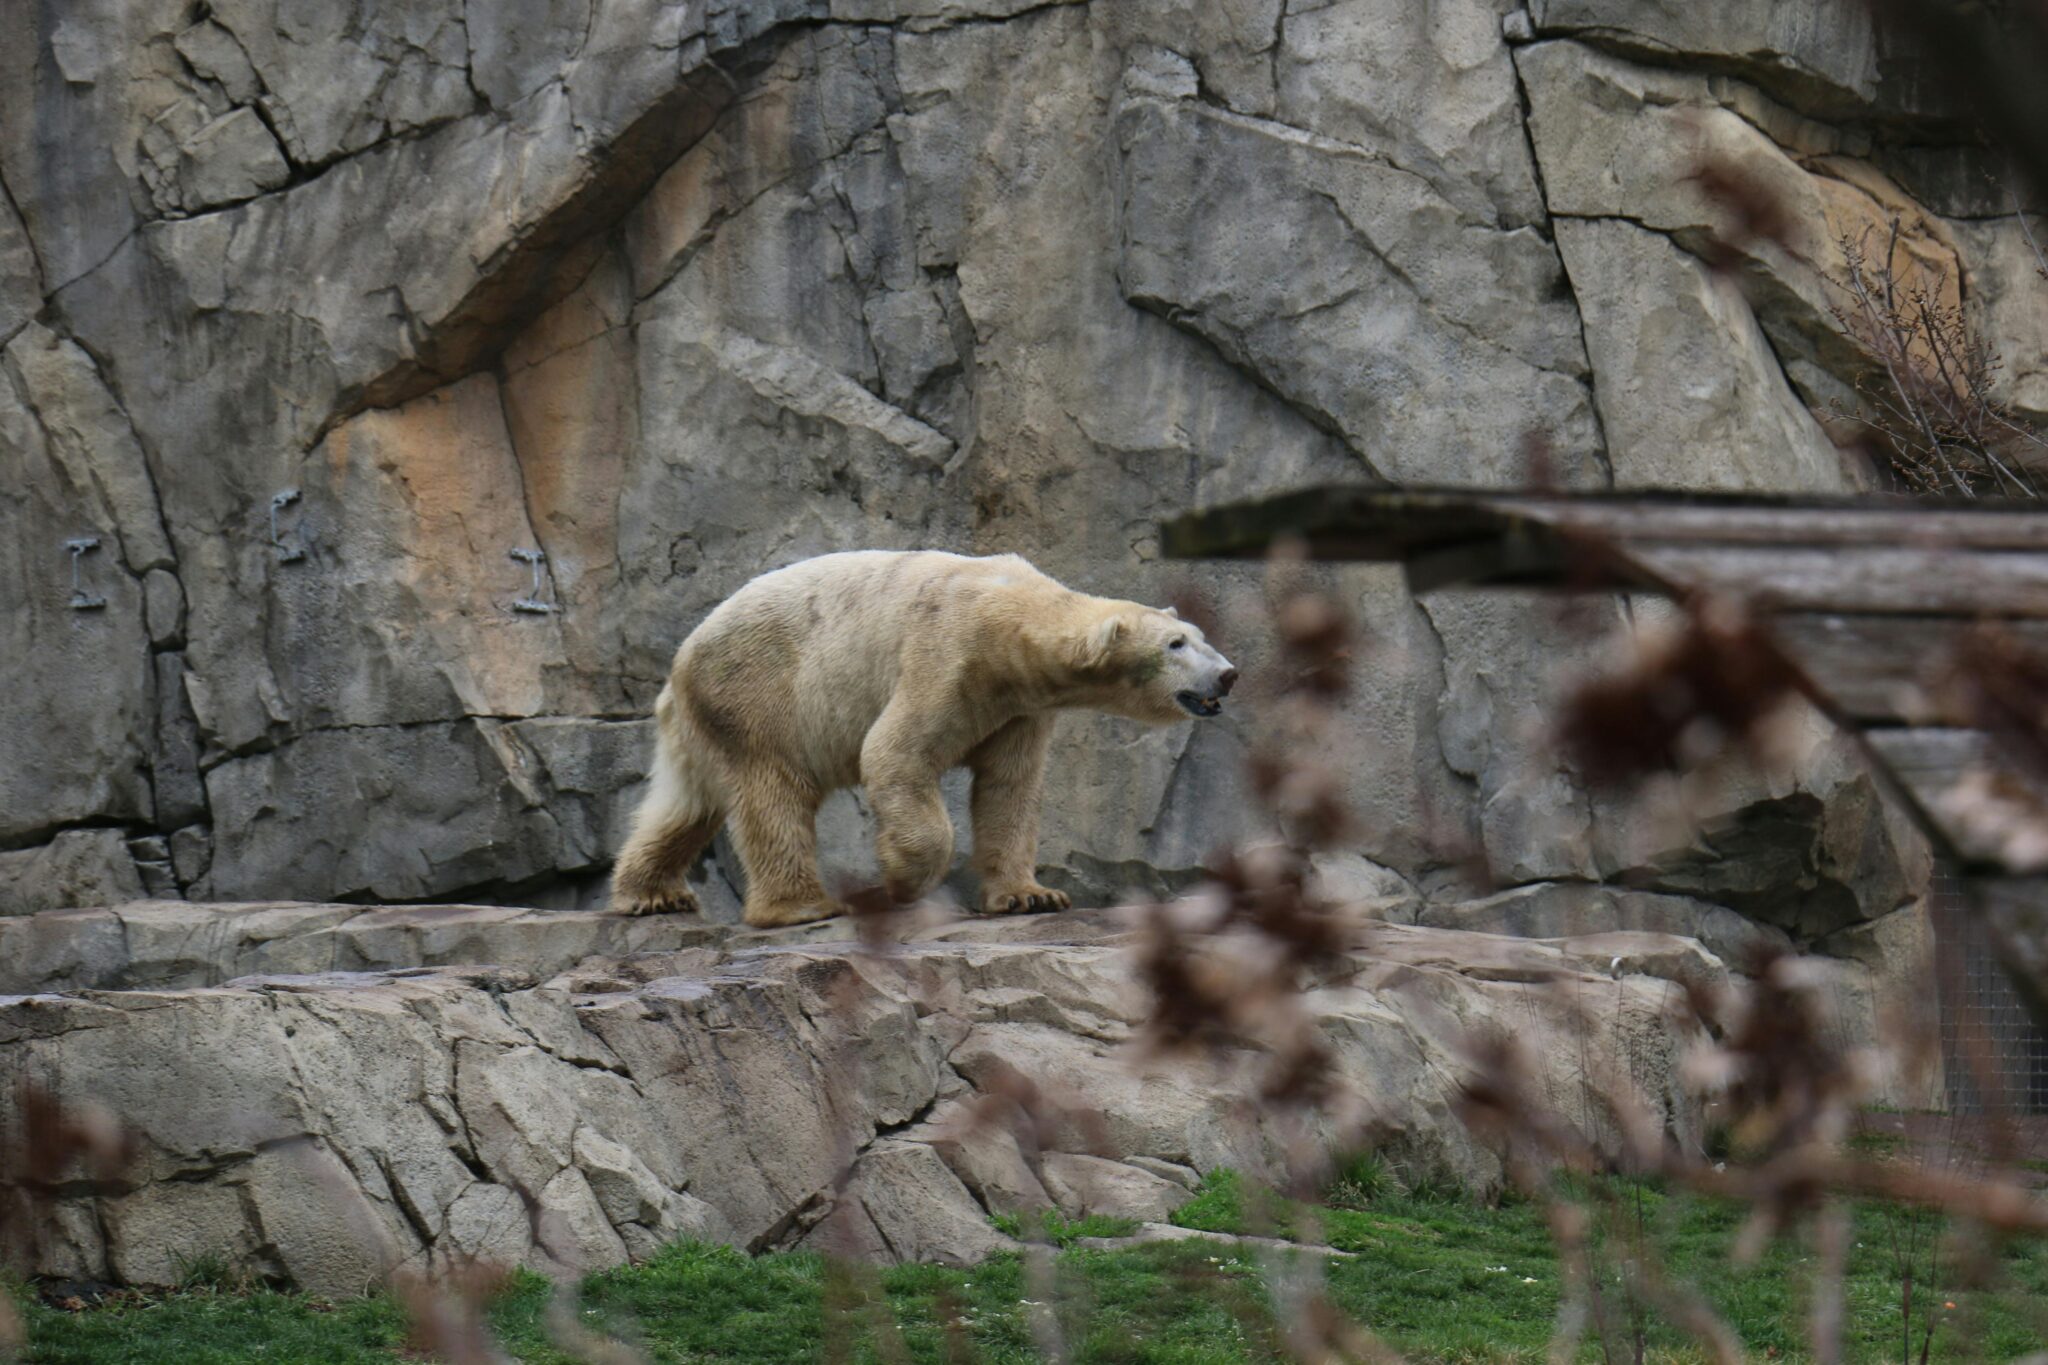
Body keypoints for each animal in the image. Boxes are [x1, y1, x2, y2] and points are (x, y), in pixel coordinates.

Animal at [609, 550, 1238, 926]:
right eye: (1176, 644)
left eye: (1198, 635)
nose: (1228, 674)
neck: (1012, 615)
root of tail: (678, 665)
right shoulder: (946, 653)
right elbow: (894, 753)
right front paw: (899, 875)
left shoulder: (1021, 707)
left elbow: (1010, 789)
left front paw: (1031, 894)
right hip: (756, 693)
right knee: (772, 790)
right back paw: (803, 905)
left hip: (702, 723)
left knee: (685, 805)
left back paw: (652, 893)